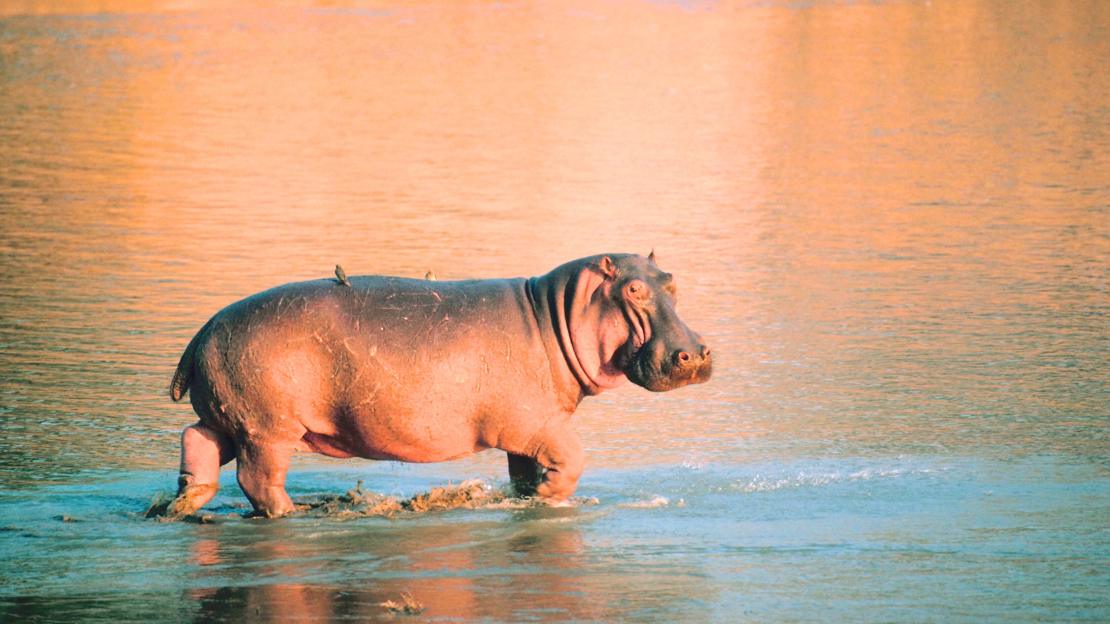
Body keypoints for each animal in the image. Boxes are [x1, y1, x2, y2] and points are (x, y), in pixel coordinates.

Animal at [163, 252, 712, 518]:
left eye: (672, 281)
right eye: (634, 289)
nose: (697, 352)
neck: (557, 312)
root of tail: (202, 332)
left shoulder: (529, 433)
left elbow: (523, 473)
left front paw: (531, 496)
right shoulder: (535, 422)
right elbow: (574, 457)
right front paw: (551, 495)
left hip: (230, 418)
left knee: (197, 443)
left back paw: (181, 503)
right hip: (267, 429)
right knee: (258, 480)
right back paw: (290, 513)